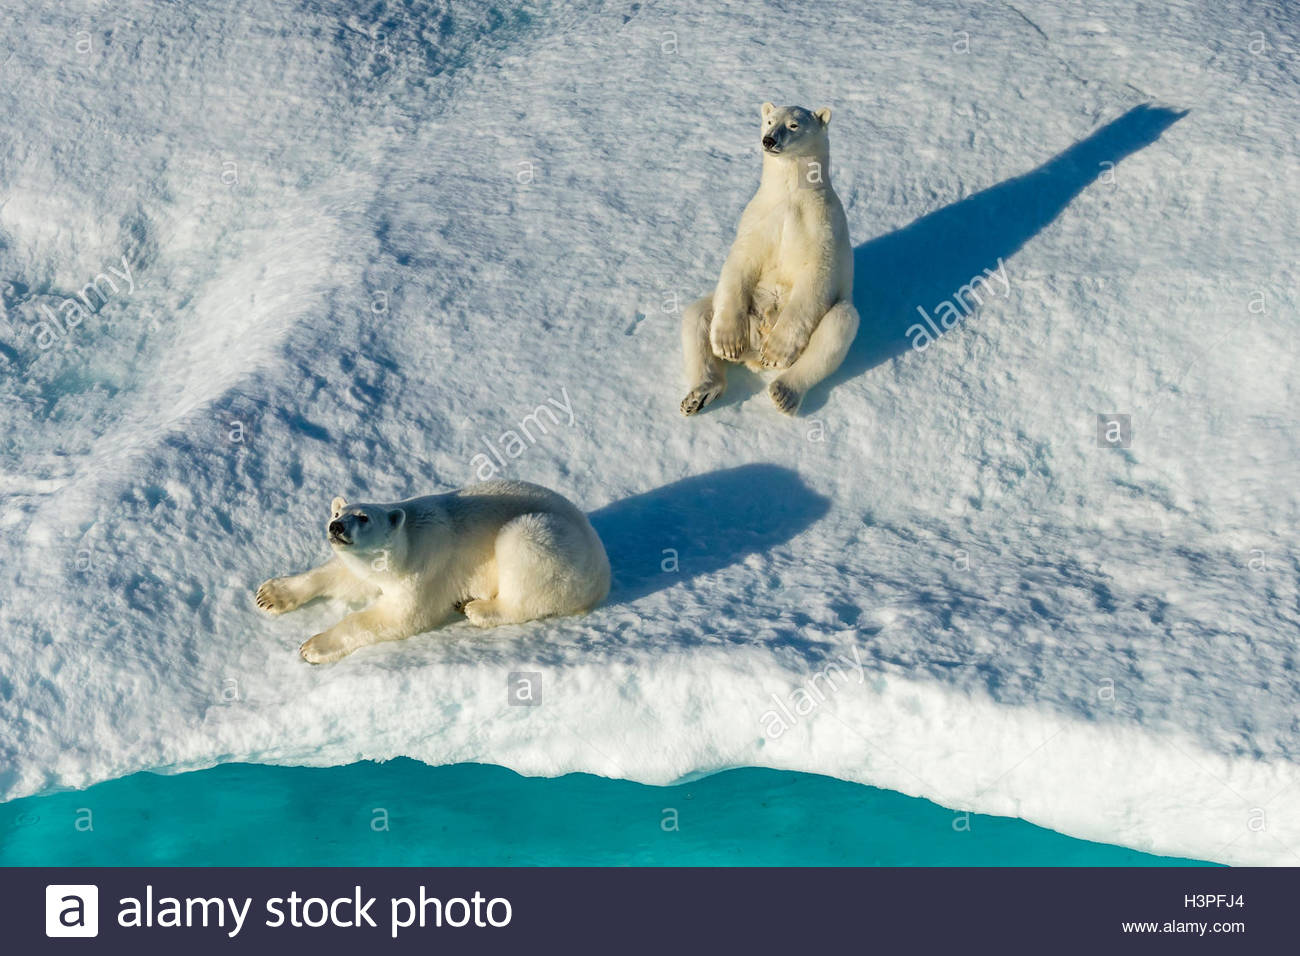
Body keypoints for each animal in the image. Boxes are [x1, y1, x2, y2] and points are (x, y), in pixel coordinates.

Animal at [255, 480, 611, 663]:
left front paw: (314, 646)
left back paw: (479, 608)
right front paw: (269, 595)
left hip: (550, 544)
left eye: (364, 517)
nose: (337, 527)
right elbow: (343, 575)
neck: (408, 538)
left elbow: (400, 616)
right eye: (337, 512)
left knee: (522, 559)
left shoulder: (424, 569)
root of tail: (603, 571)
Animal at [681, 102, 859, 417]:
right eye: (769, 121)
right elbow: (740, 262)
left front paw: (776, 352)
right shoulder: (759, 216)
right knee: (696, 317)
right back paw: (698, 395)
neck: (790, 194)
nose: (769, 140)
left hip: (837, 313)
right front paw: (728, 343)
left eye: (793, 125)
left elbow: (816, 277)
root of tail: (754, 352)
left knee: (839, 325)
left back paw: (784, 391)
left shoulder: (823, 224)